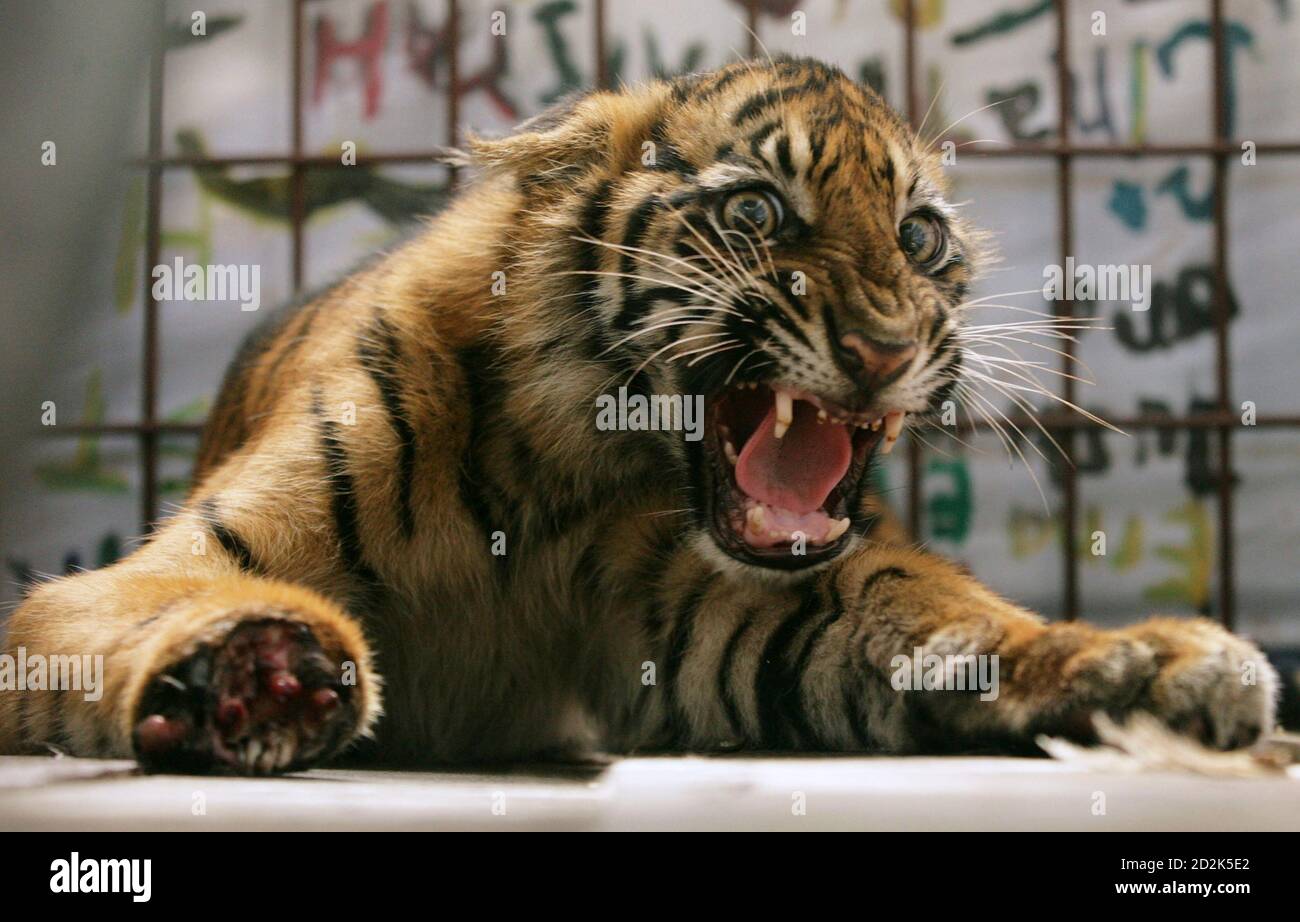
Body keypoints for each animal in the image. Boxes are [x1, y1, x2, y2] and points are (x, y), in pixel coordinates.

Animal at [0, 57, 1276, 774]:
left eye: (918, 236)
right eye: (758, 212)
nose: (882, 349)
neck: (560, 463)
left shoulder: (731, 617)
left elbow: (931, 618)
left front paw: (1148, 663)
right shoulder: (138, 575)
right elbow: (150, 600)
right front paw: (254, 666)